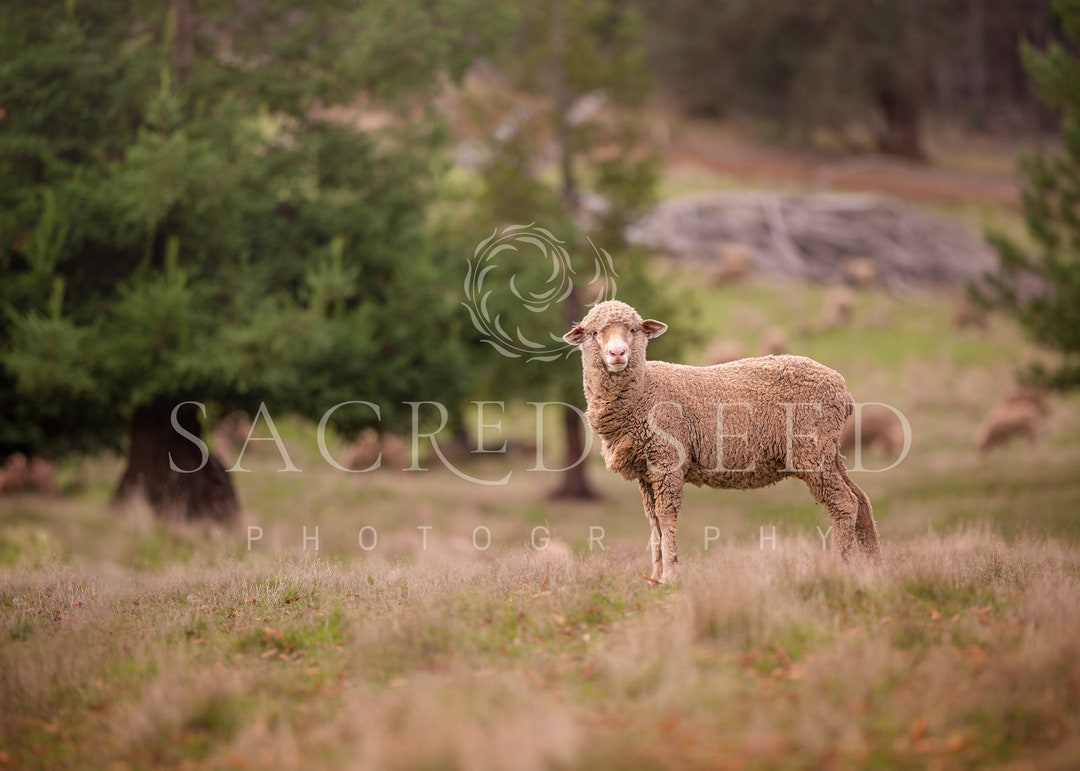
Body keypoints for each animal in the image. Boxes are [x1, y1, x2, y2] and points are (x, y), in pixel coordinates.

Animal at [563, 300, 881, 583]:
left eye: (633, 329)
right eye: (594, 332)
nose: (617, 353)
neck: (643, 391)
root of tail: (842, 390)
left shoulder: (667, 460)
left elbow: (666, 517)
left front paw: (670, 576)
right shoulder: (646, 469)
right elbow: (653, 521)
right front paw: (654, 577)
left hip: (812, 449)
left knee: (844, 503)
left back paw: (839, 566)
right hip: (828, 450)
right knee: (862, 501)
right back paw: (873, 567)